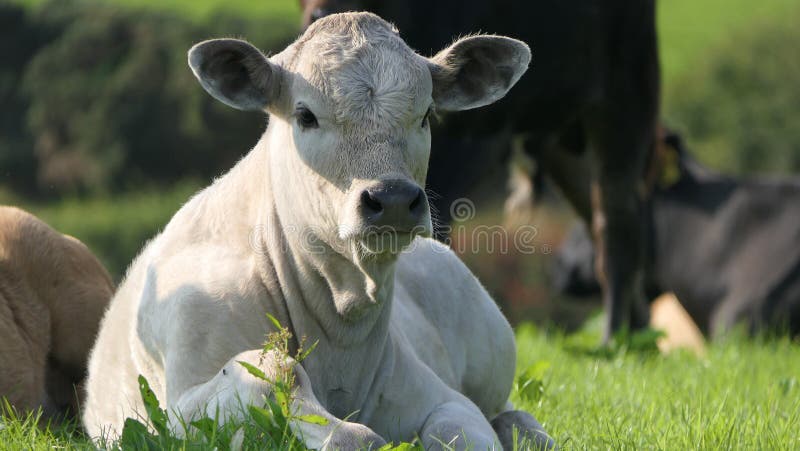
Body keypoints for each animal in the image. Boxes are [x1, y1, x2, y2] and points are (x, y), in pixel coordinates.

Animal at [82, 13, 555, 450]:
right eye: (306, 116)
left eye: (425, 115)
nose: (393, 198)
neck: (343, 319)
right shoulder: (177, 407)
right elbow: (278, 377)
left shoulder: (446, 399)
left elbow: (455, 430)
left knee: (508, 411)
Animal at [300, 0, 661, 343]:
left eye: (426, 113)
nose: (320, 11)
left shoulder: (478, 135)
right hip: (564, 143)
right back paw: (640, 333)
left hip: (624, 98)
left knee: (617, 224)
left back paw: (613, 338)